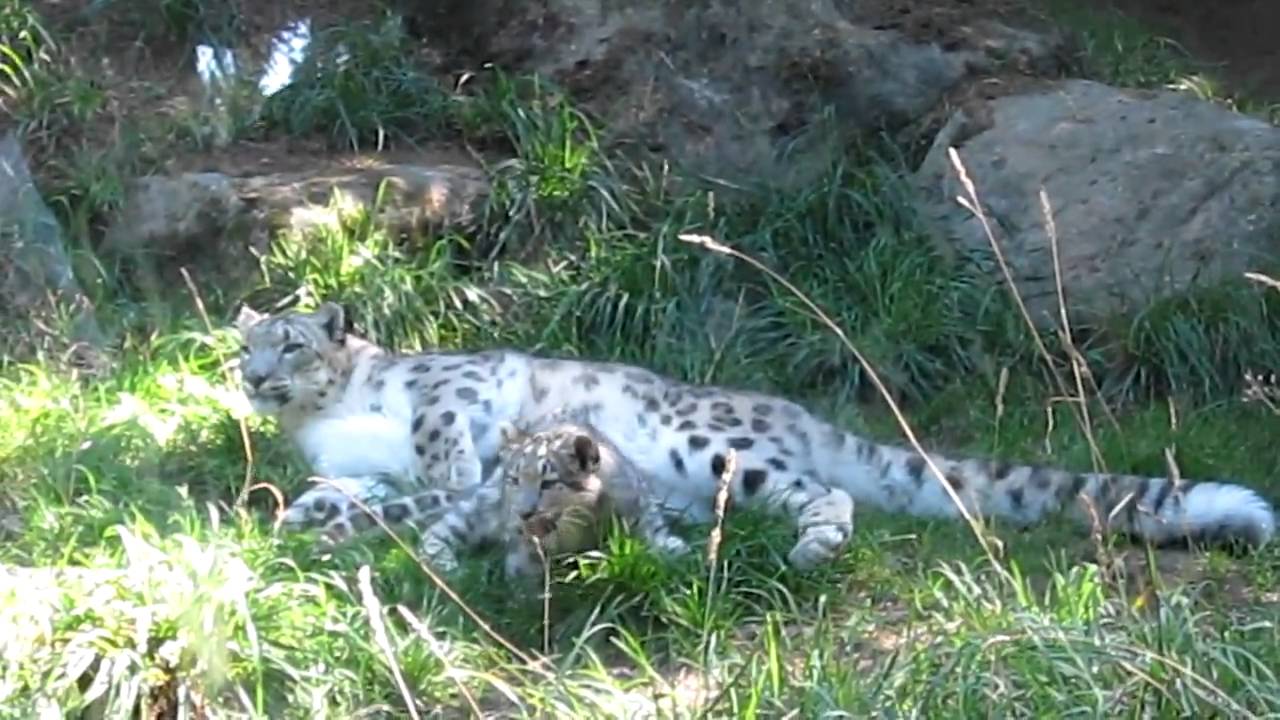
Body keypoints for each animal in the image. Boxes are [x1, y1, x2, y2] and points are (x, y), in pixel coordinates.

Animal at [236, 301, 1277, 573]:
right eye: (238, 346)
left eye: (289, 342)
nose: (253, 377)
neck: (326, 420)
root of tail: (799, 415)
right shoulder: (356, 462)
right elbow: (363, 489)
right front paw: (314, 511)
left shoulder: (450, 392)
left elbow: (442, 455)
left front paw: (435, 490)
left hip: (708, 444)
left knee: (830, 490)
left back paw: (817, 541)